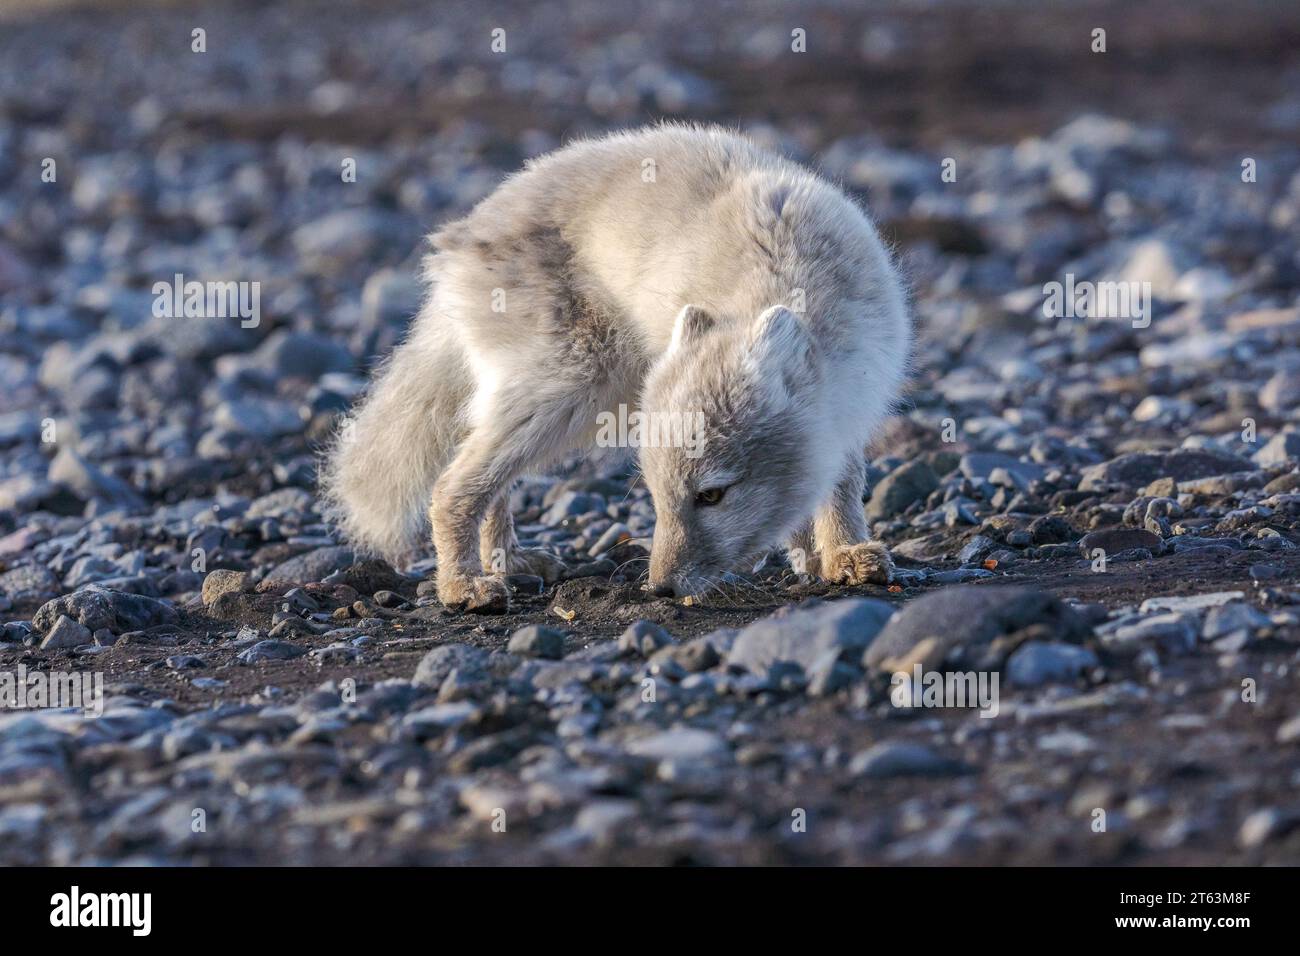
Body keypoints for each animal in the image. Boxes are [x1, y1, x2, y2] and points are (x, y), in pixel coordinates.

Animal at [321, 124, 911, 612]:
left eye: (712, 495)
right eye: (657, 496)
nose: (661, 589)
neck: (788, 269)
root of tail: (457, 240)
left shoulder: (852, 403)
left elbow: (839, 483)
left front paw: (837, 554)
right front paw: (819, 553)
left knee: (485, 473)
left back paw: (509, 563)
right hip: (569, 385)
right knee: (453, 484)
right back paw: (464, 587)